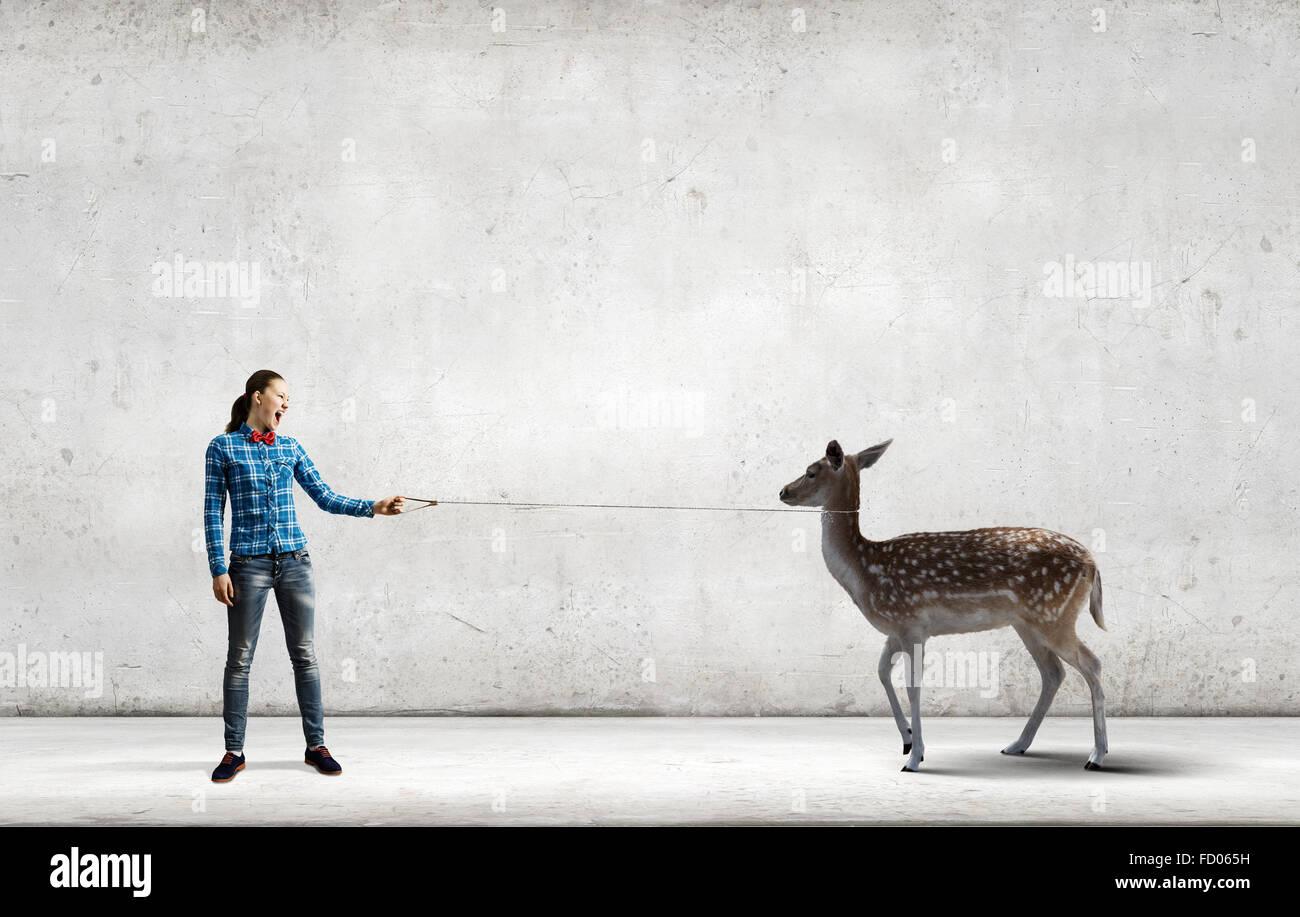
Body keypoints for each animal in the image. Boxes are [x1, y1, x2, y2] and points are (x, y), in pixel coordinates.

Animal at [779, 438, 1108, 773]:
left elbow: (913, 687)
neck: (865, 572)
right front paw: (907, 739)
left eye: (811, 471)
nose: (783, 491)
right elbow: (882, 672)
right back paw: (1018, 744)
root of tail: (1092, 564)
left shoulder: (911, 623)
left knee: (1091, 664)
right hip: (1027, 623)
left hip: (1054, 614)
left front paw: (914, 758)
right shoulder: (896, 630)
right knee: (1053, 673)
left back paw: (1096, 755)